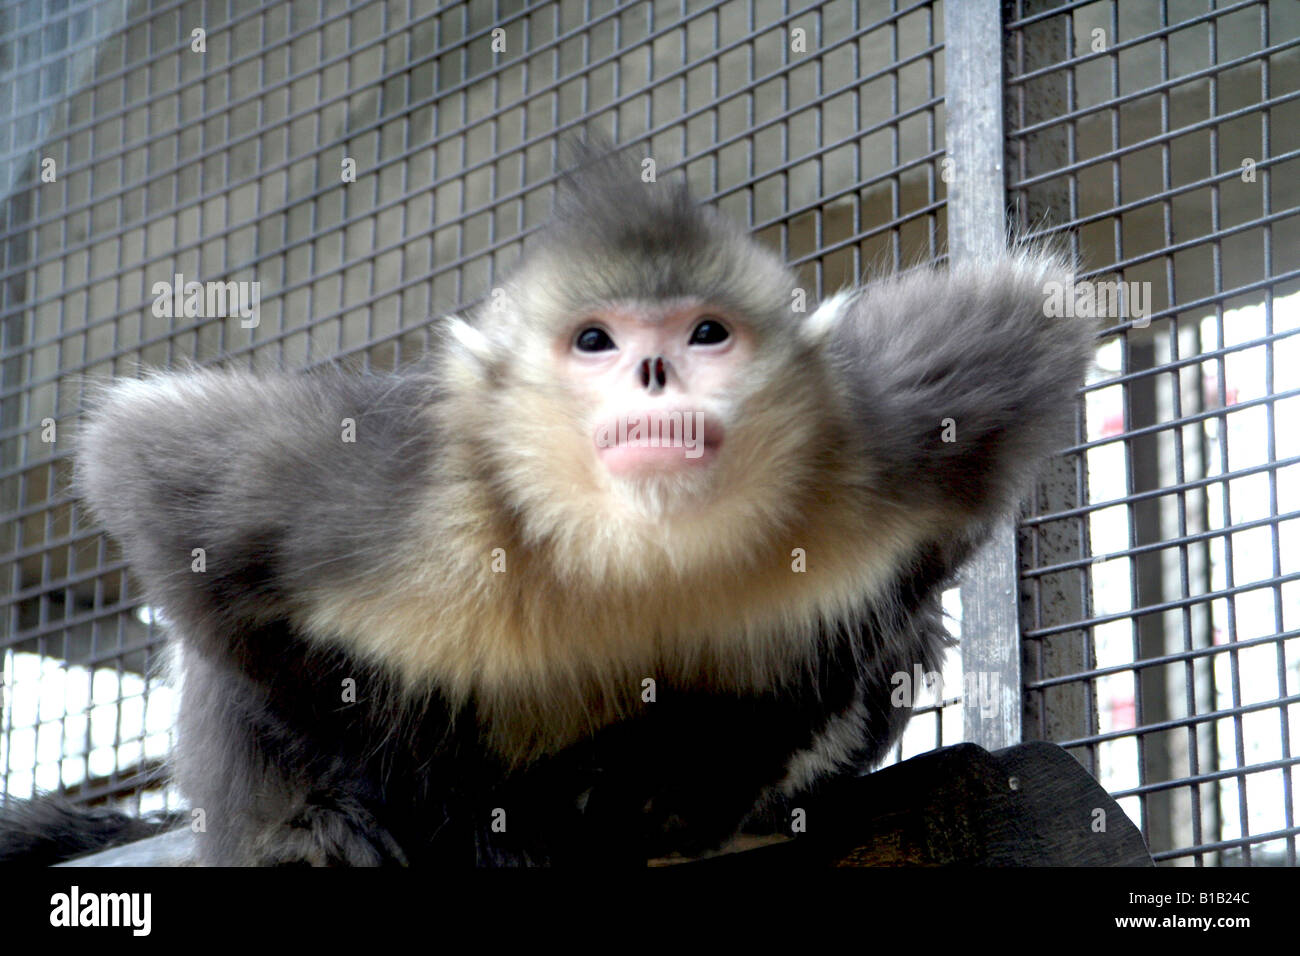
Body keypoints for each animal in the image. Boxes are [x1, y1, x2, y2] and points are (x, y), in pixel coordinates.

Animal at [1, 145, 1093, 866]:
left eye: (705, 333)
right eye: (595, 342)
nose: (655, 374)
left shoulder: (888, 433)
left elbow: (1030, 330)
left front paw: (682, 778)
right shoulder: (396, 500)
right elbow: (151, 472)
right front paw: (471, 807)